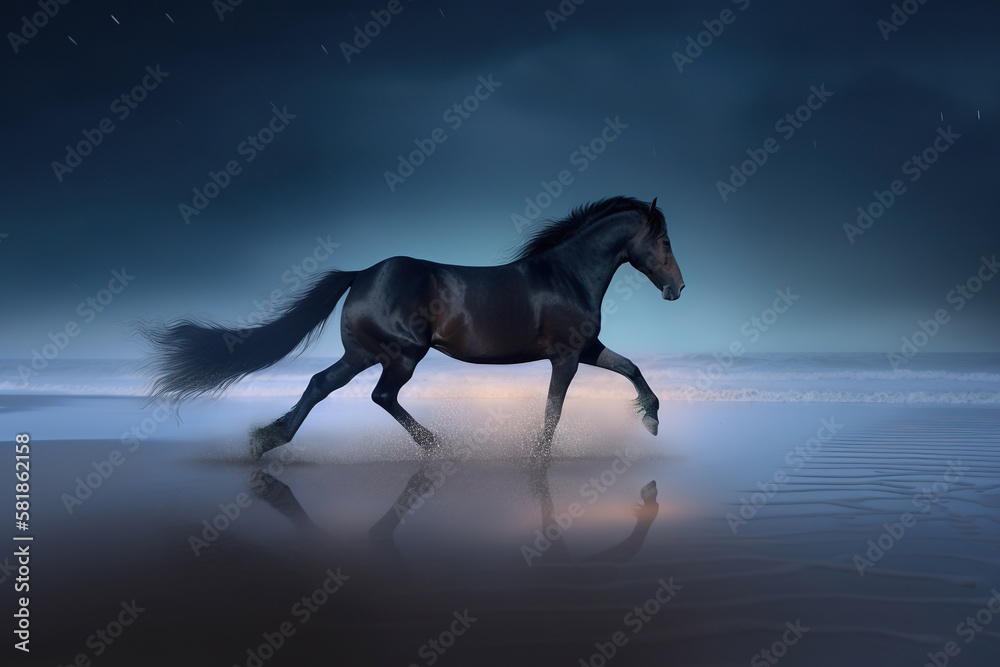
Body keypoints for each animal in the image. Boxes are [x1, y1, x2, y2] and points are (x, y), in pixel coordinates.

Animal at [137, 196, 684, 461]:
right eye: (664, 241)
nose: (677, 288)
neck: (566, 274)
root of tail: (361, 273)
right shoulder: (567, 355)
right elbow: (554, 409)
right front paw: (538, 456)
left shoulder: (588, 349)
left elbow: (630, 368)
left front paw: (652, 420)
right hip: (401, 354)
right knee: (381, 396)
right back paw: (440, 447)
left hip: (362, 353)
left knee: (319, 384)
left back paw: (264, 441)